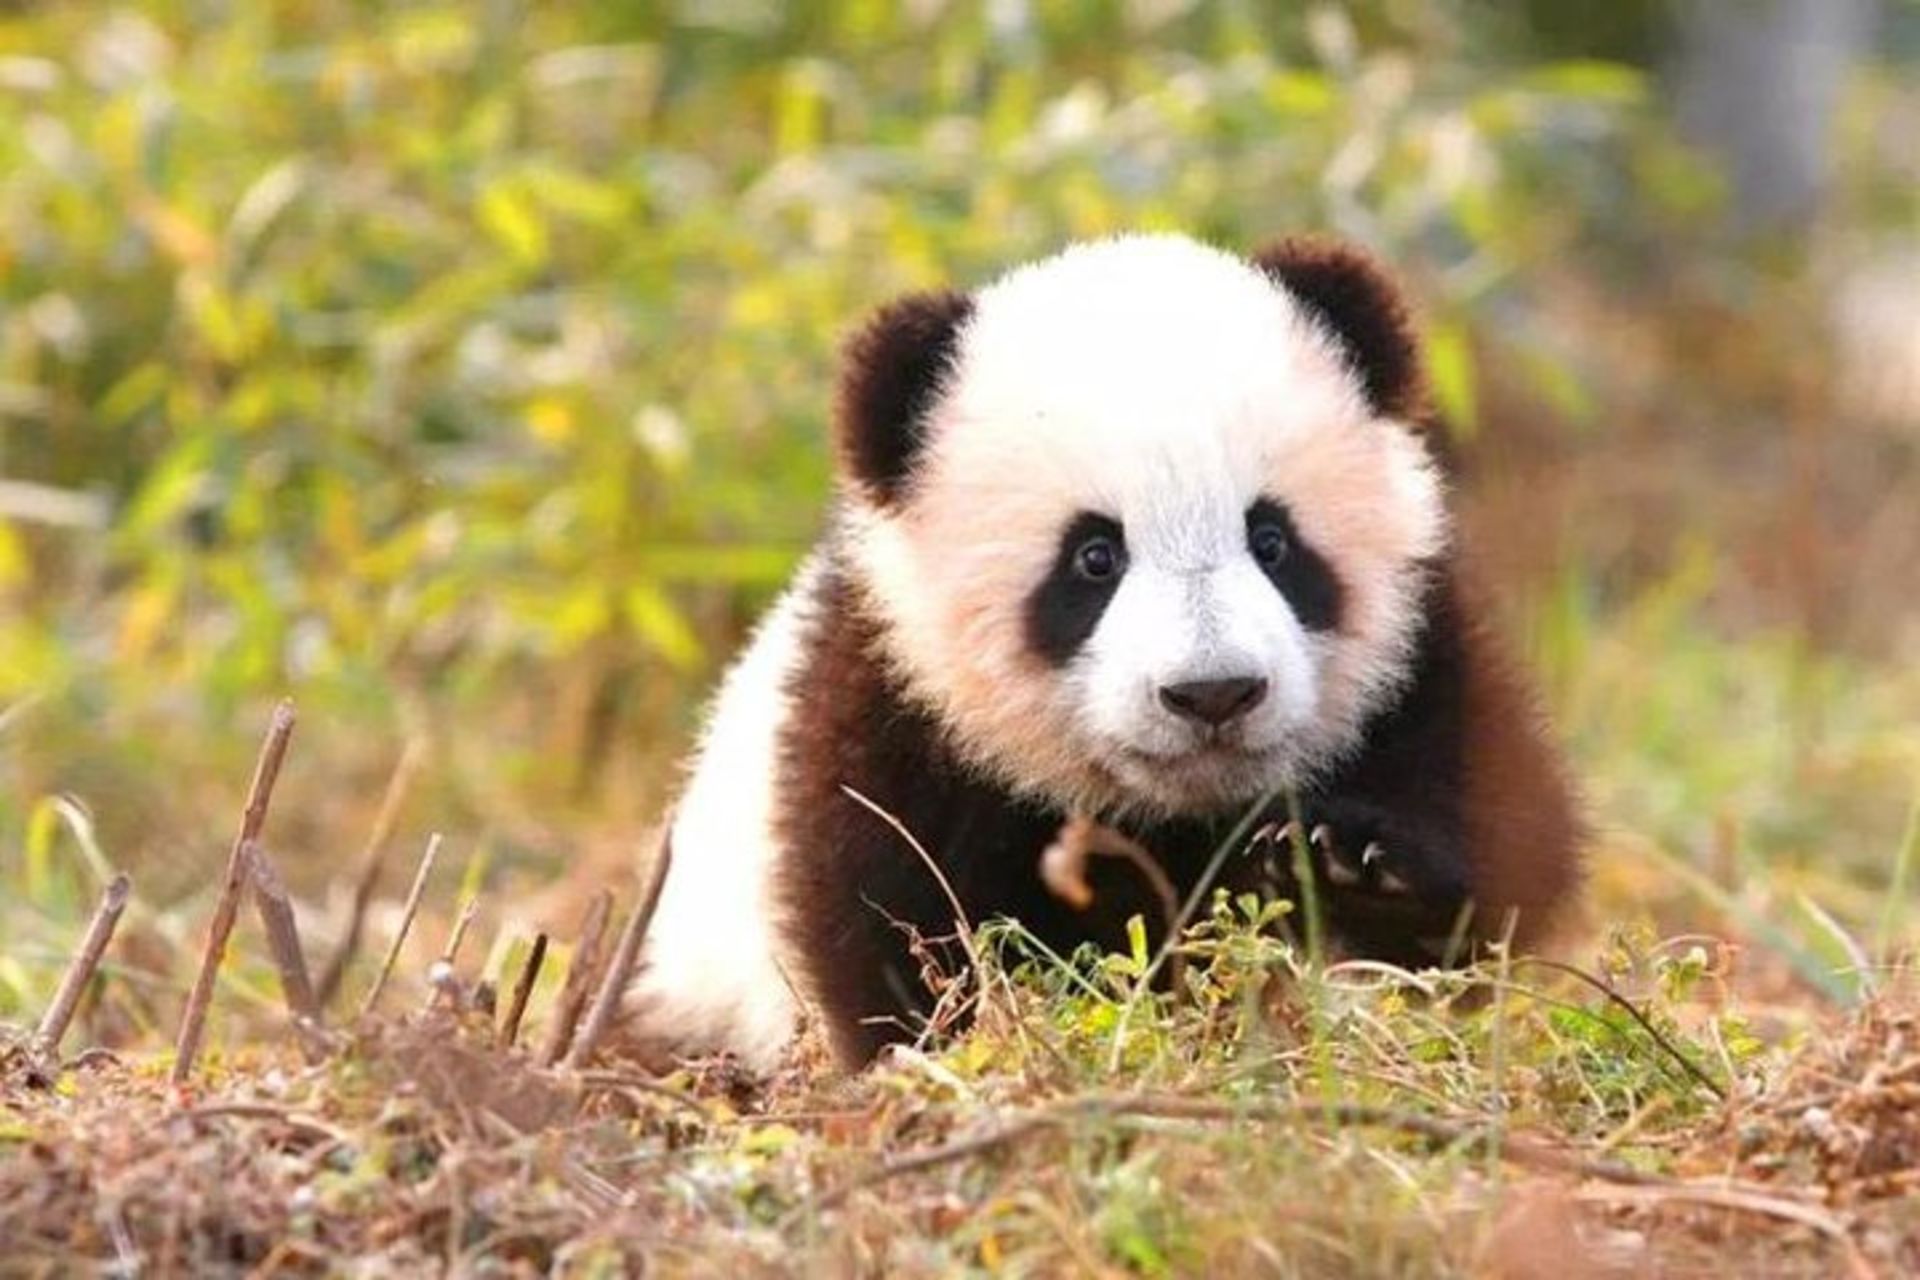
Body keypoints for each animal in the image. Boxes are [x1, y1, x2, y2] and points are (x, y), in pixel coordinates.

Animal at [627, 233, 1582, 1072]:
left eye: (1272, 539)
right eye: (1094, 557)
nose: (1214, 692)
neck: (1175, 816)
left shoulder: (1423, 659)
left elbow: (1510, 853)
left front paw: (1350, 864)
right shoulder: (892, 709)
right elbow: (890, 937)